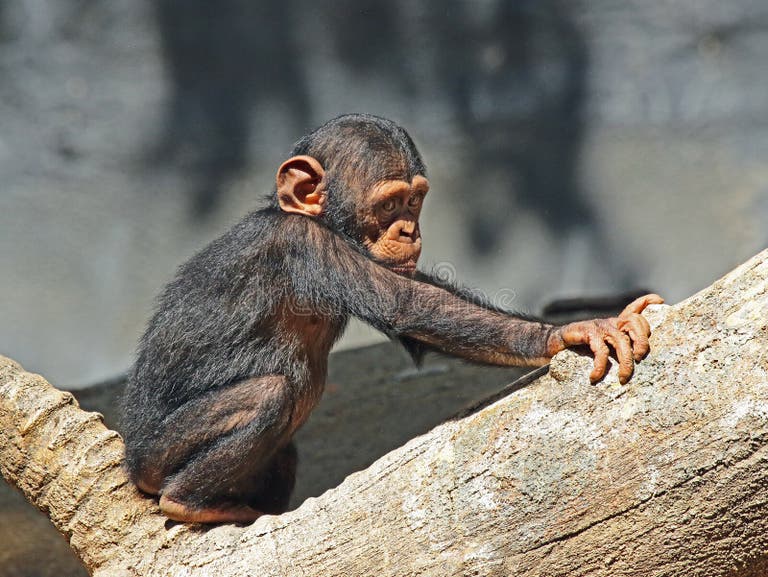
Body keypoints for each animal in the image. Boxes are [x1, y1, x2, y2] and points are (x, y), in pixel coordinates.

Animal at [120, 114, 663, 524]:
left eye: (414, 200)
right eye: (388, 204)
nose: (408, 229)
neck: (315, 219)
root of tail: (130, 465)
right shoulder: (306, 246)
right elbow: (409, 305)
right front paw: (574, 330)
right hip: (155, 455)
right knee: (267, 394)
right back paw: (188, 503)